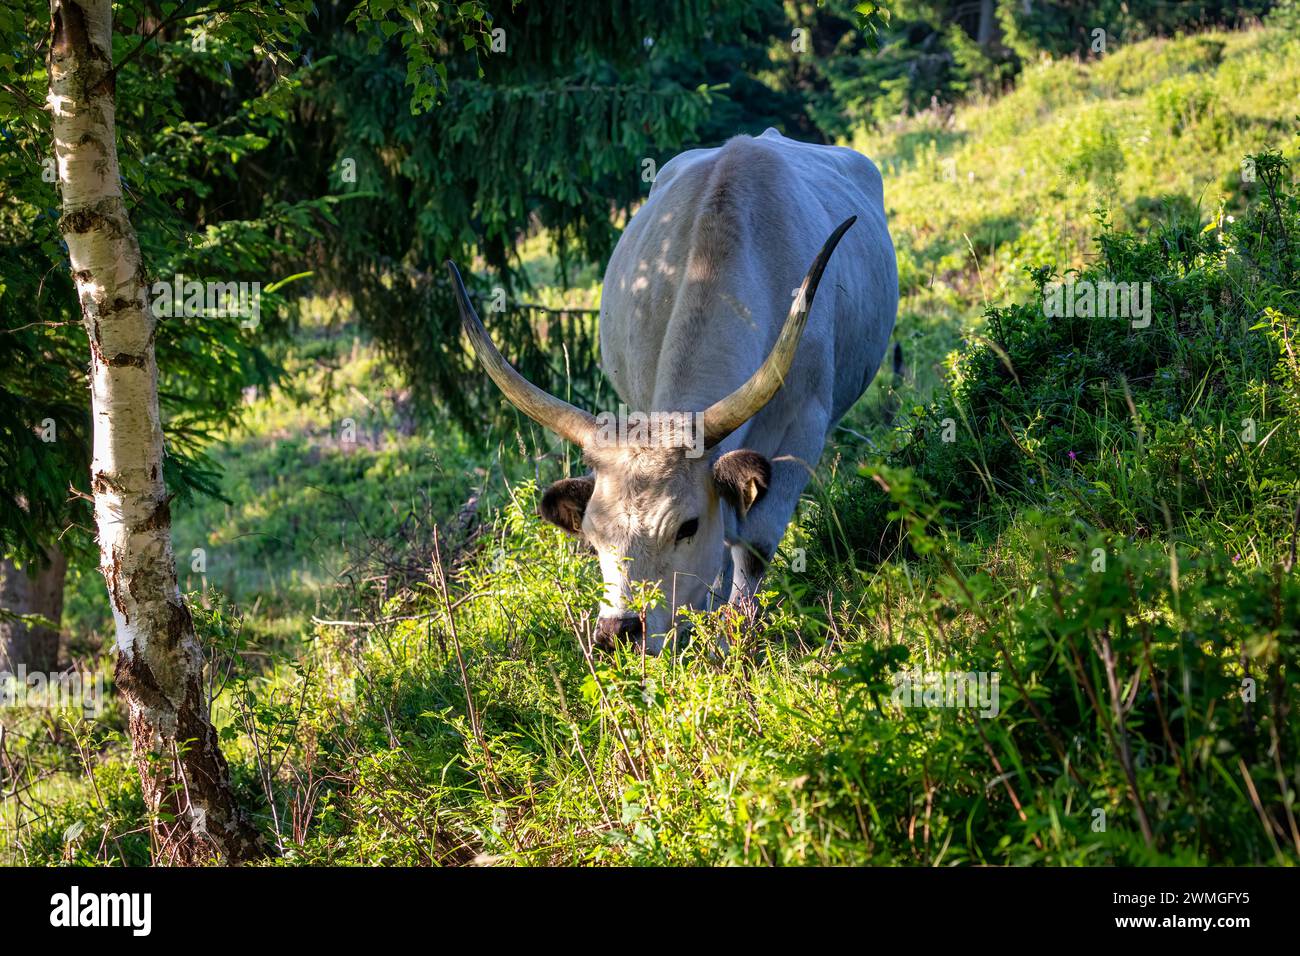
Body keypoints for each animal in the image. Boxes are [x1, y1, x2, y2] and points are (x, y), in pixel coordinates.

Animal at [447, 127, 898, 654]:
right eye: (593, 539)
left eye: (686, 526)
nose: (618, 631)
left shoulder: (802, 427)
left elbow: (754, 543)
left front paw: (732, 638)